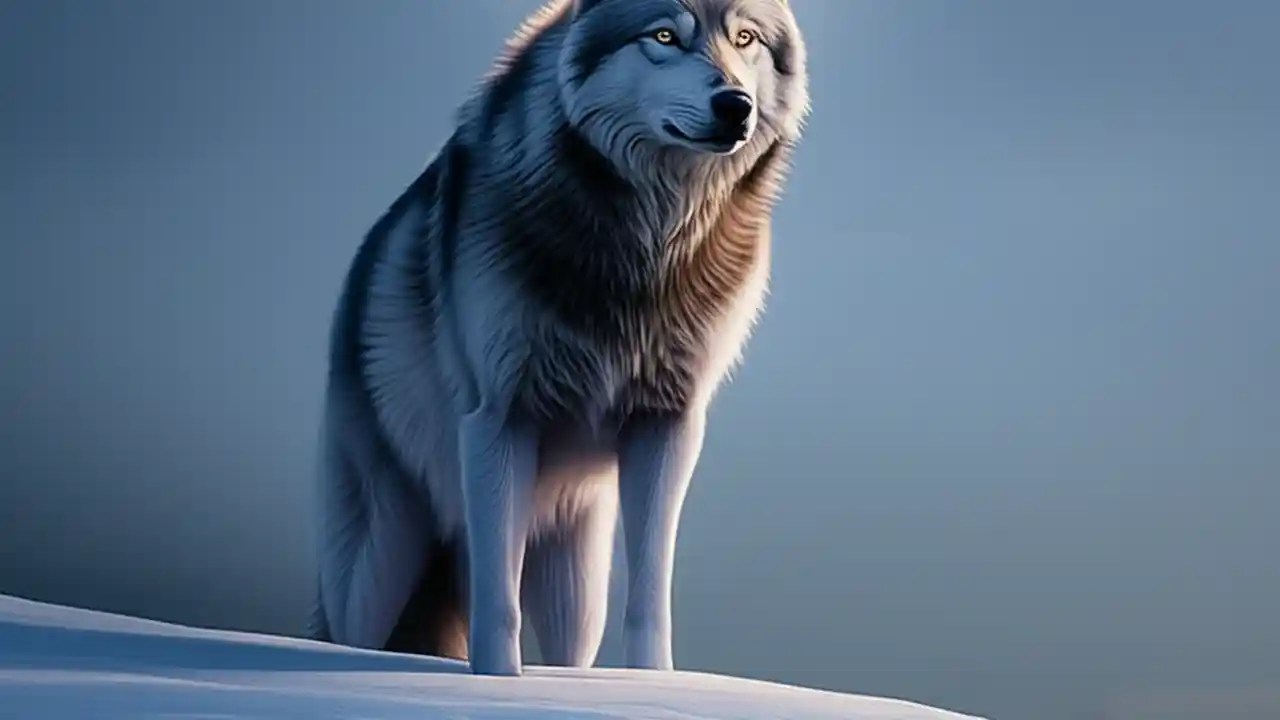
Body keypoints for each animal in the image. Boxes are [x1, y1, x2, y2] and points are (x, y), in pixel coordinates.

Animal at [311, 0, 808, 676]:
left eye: (745, 38)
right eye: (663, 36)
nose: (735, 105)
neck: (644, 253)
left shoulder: (668, 424)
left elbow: (650, 594)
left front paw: (651, 685)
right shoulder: (498, 419)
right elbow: (498, 602)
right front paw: (497, 684)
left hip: (576, 583)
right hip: (379, 563)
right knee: (348, 634)